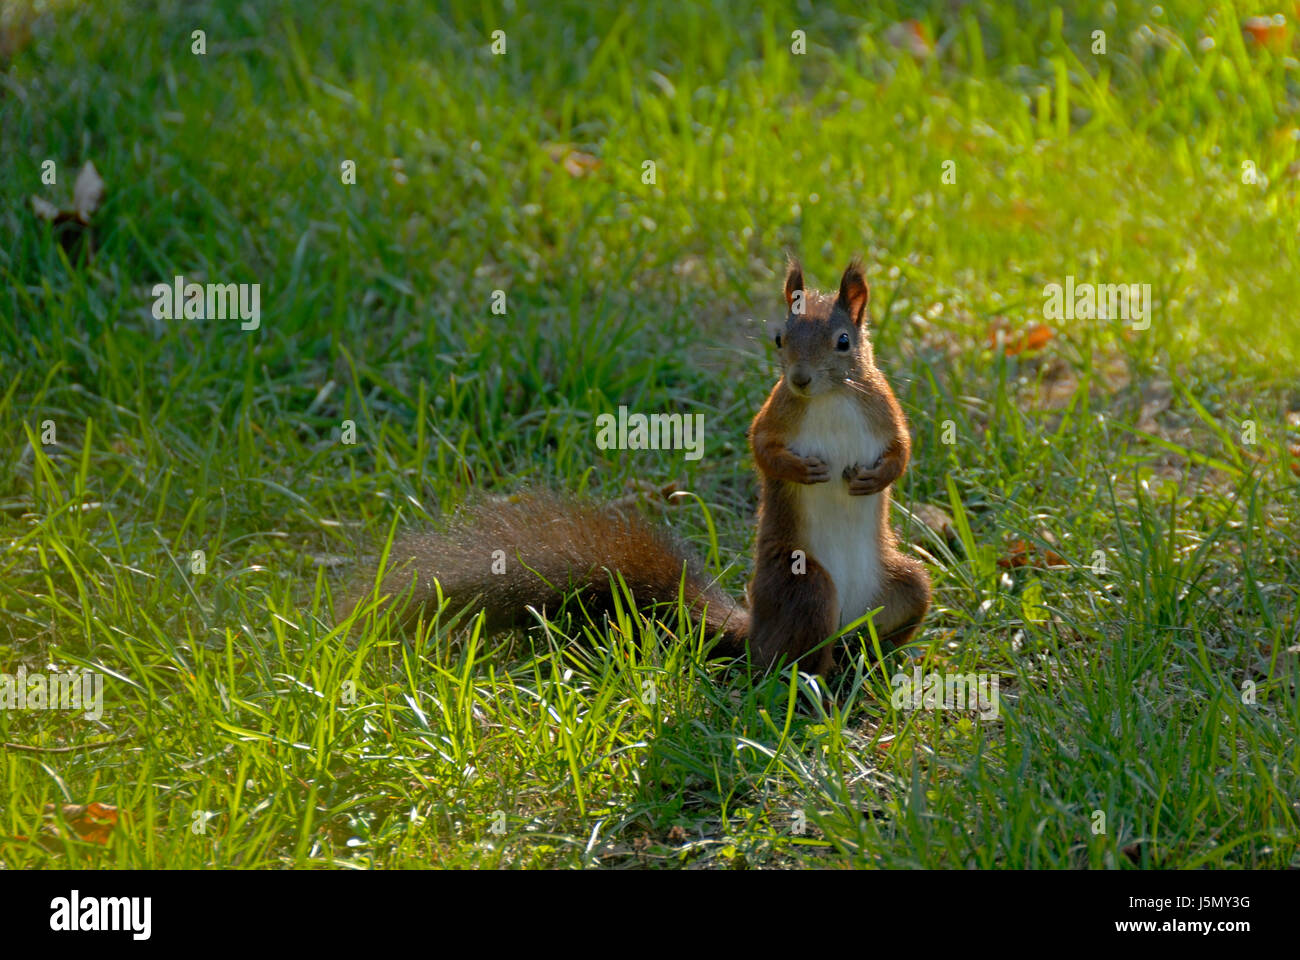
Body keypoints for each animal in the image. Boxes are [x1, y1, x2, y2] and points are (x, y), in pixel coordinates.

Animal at [344, 258, 930, 675]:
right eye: (780, 339)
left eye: (843, 341)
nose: (801, 379)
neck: (831, 398)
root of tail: (756, 631)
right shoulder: (775, 414)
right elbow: (762, 449)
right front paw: (800, 471)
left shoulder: (883, 409)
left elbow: (901, 450)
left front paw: (873, 478)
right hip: (803, 585)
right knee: (792, 660)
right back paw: (816, 687)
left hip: (906, 586)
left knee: (880, 625)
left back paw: (872, 665)